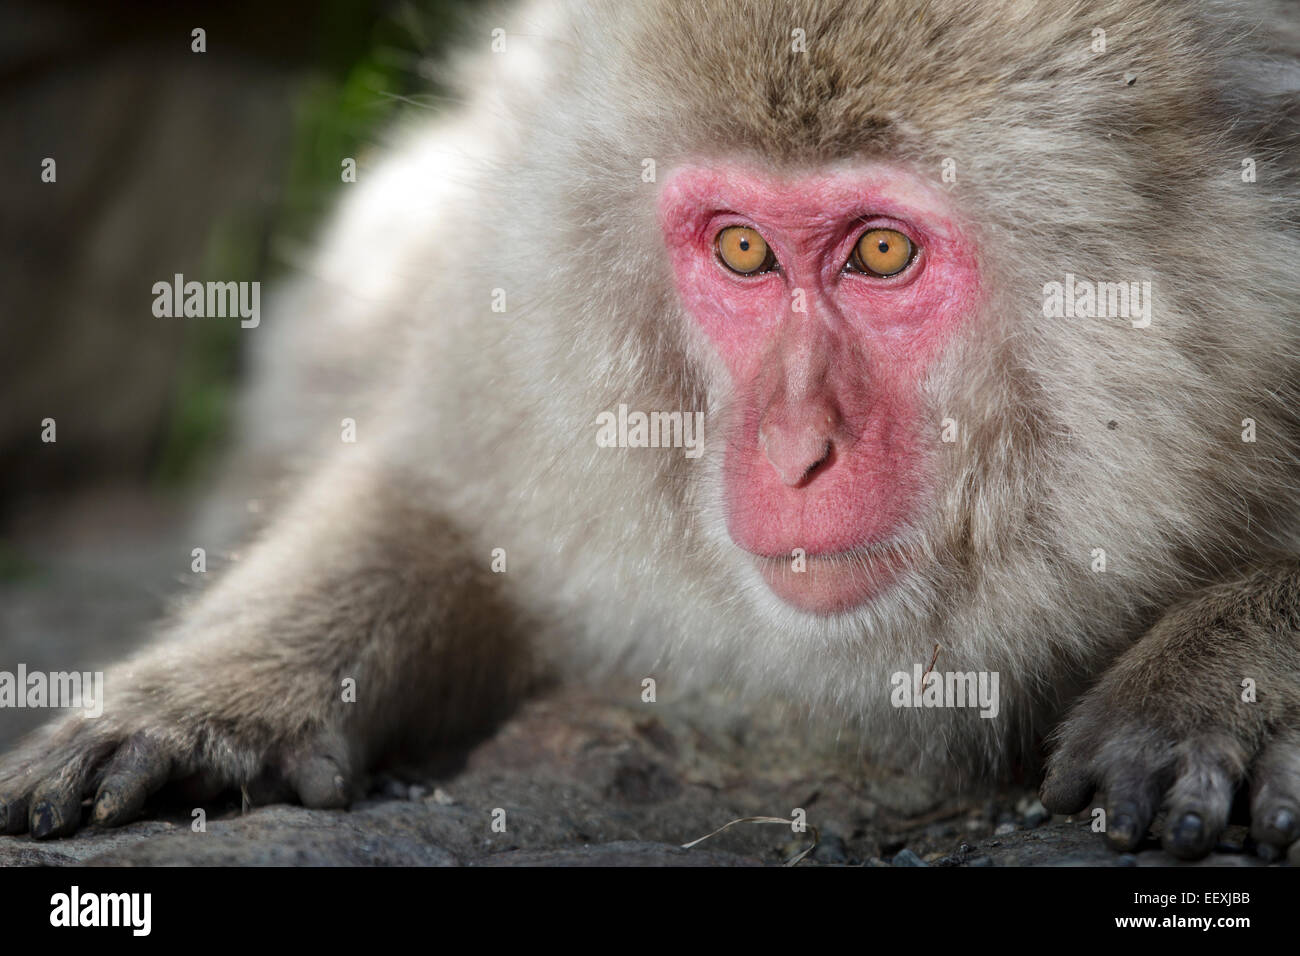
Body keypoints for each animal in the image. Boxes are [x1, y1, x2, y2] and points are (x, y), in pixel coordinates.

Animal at [1, 0, 1298, 864]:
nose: (793, 449)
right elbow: (439, 489)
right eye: (741, 247)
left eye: (882, 250)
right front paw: (212, 699)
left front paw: (1216, 678)